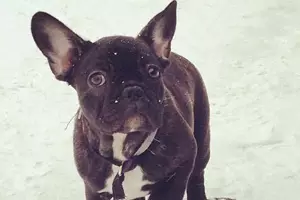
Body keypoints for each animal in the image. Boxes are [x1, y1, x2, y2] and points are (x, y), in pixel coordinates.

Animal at [29, 0, 210, 199]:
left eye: (153, 72)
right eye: (97, 79)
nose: (133, 90)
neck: (124, 153)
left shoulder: (179, 170)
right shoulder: (95, 189)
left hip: (202, 139)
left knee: (197, 175)